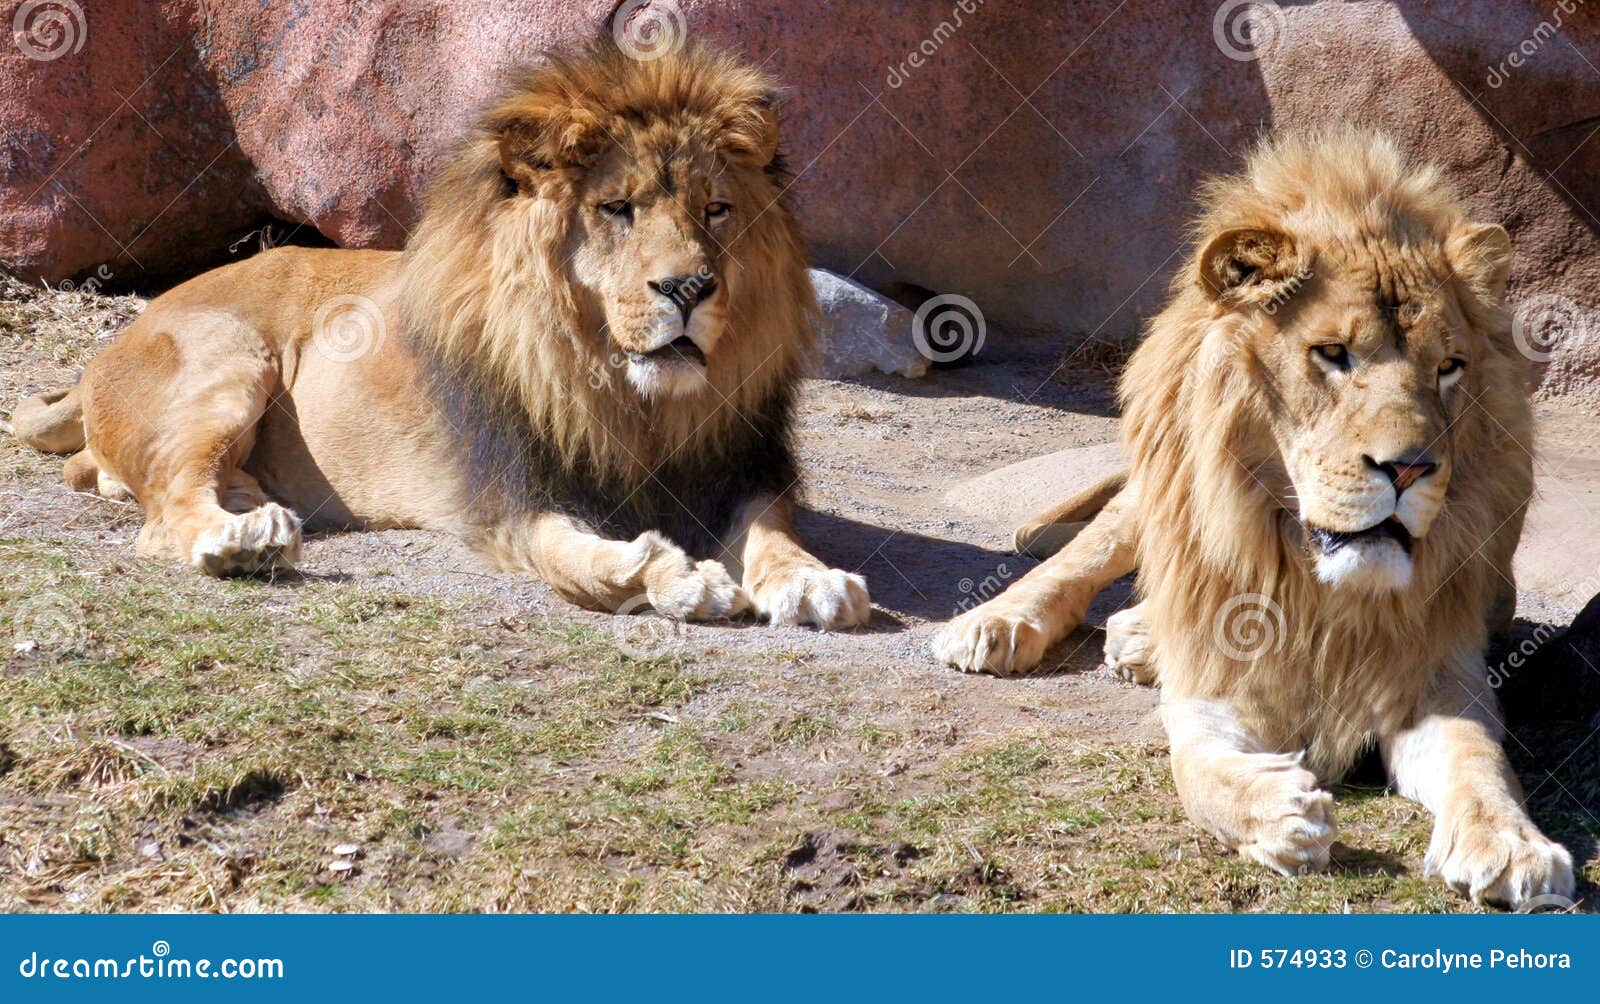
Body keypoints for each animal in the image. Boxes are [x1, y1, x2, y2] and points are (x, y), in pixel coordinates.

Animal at [6, 43, 870, 630]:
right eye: (617, 209)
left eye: (716, 210)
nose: (690, 287)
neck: (635, 401)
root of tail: (123, 333)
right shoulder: (511, 496)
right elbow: (577, 559)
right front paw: (672, 573)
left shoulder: (745, 462)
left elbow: (772, 526)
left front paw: (810, 577)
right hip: (232, 357)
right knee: (165, 510)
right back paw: (240, 539)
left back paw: (256, 506)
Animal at [933, 129, 1574, 908]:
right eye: (1332, 354)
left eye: (1448, 367)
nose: (1411, 469)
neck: (1317, 584)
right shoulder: (1217, 685)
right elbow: (1198, 771)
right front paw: (1278, 814)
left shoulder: (1440, 671)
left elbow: (1479, 760)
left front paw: (1514, 845)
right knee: (1087, 549)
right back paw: (999, 624)